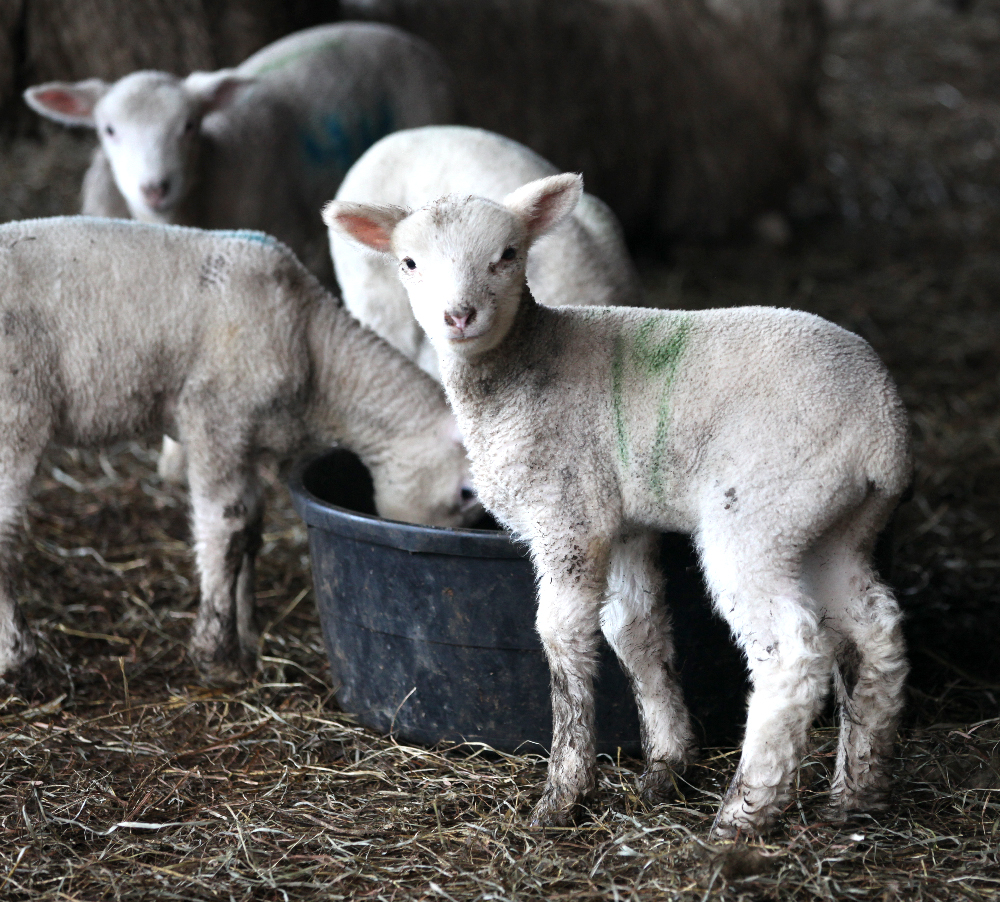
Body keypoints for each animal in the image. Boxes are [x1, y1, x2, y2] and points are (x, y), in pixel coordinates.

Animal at [0, 216, 480, 688]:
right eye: (466, 494)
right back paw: (21, 660)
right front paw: (217, 654)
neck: (316, 354)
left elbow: (250, 528)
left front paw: (248, 630)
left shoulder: (247, 436)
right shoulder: (217, 415)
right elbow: (225, 529)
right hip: (16, 410)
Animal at [323, 175, 913, 836]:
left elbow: (563, 637)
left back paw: (742, 814)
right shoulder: (622, 518)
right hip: (838, 525)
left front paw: (563, 794)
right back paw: (857, 793)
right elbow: (634, 630)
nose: (459, 316)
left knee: (792, 653)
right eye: (408, 262)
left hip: (761, 509)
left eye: (507, 255)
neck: (522, 366)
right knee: (875, 632)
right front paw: (666, 766)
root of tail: (881, 428)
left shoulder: (568, 511)